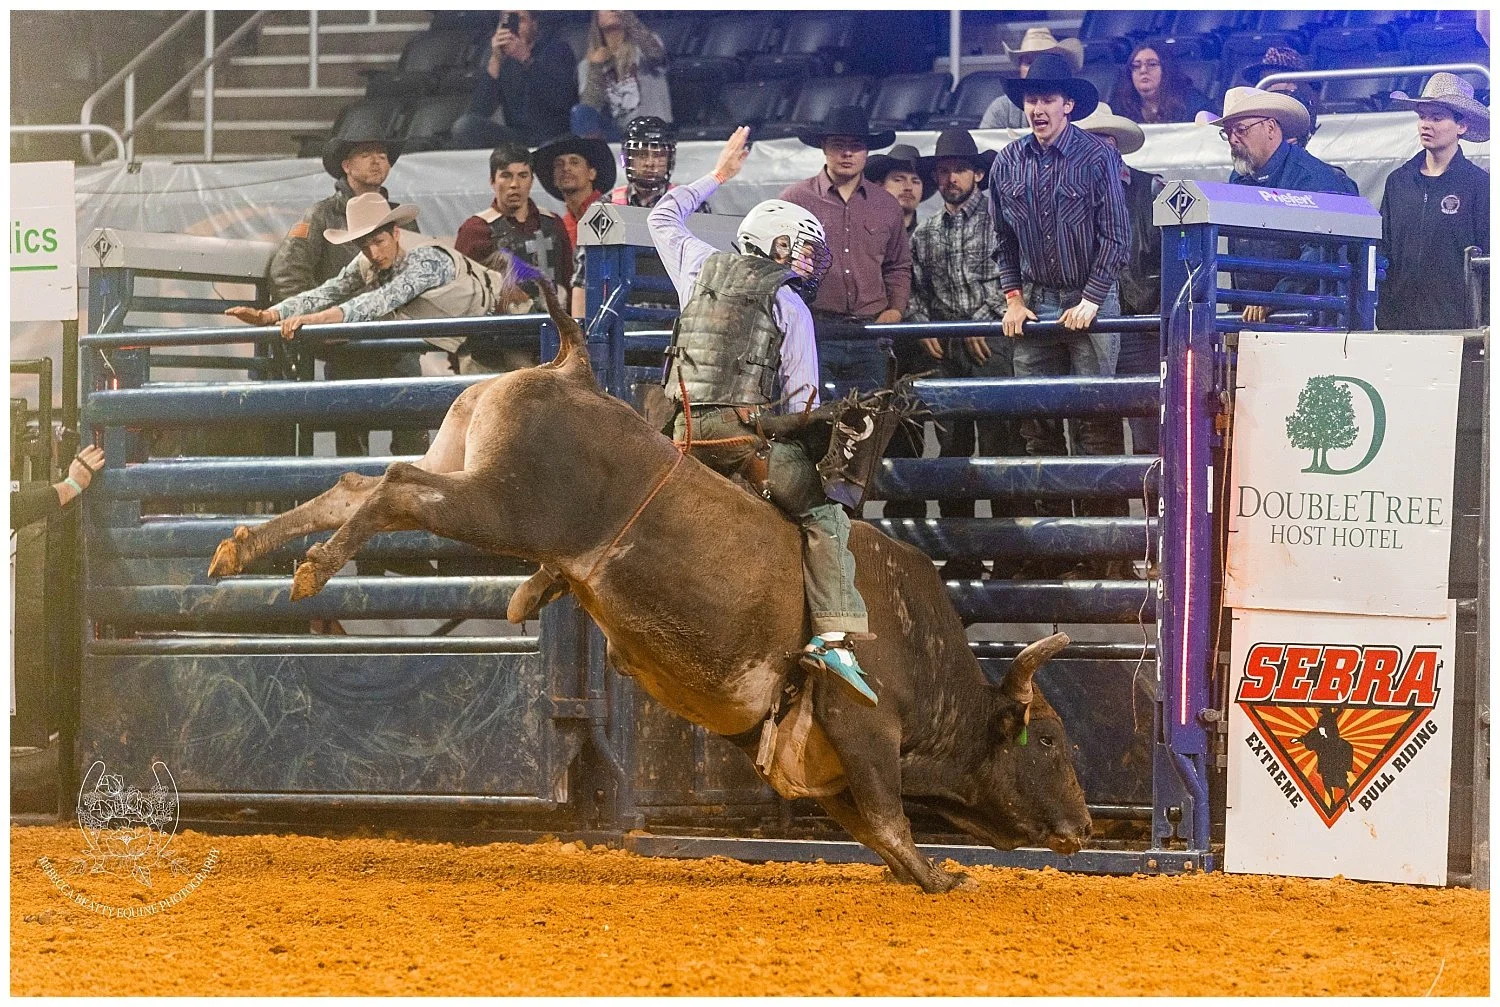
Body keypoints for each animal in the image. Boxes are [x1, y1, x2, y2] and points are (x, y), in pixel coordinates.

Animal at [206, 282, 1093, 893]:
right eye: (1050, 741)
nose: (1084, 822)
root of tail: (570, 368)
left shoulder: (822, 764)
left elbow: (874, 831)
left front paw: (924, 874)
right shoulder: (862, 723)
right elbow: (889, 815)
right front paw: (941, 873)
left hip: (462, 464)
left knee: (358, 483)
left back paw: (244, 549)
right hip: (498, 505)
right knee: (391, 486)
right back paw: (313, 565)